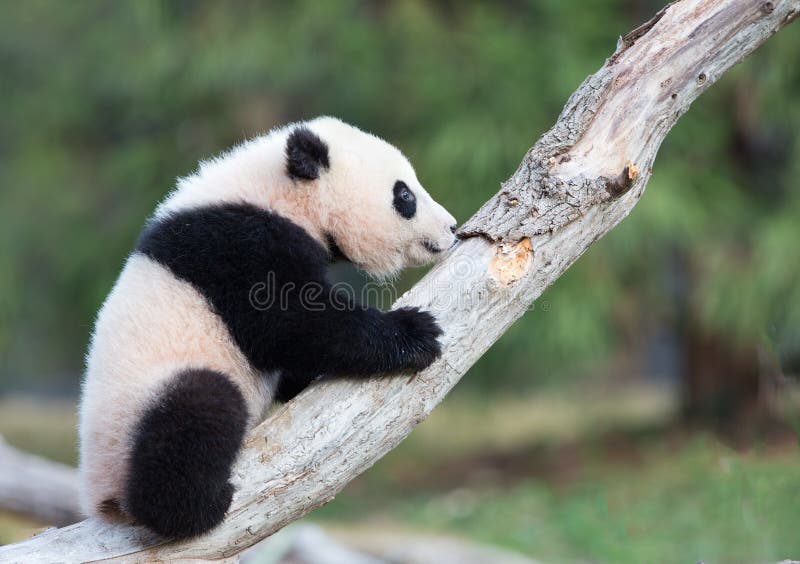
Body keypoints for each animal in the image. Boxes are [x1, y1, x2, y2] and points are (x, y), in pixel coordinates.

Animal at [78, 116, 457, 539]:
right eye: (404, 195)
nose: (452, 228)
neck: (278, 193)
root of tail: (100, 497)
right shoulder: (239, 244)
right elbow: (292, 322)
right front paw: (415, 331)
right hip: (136, 408)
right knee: (198, 410)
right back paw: (198, 507)